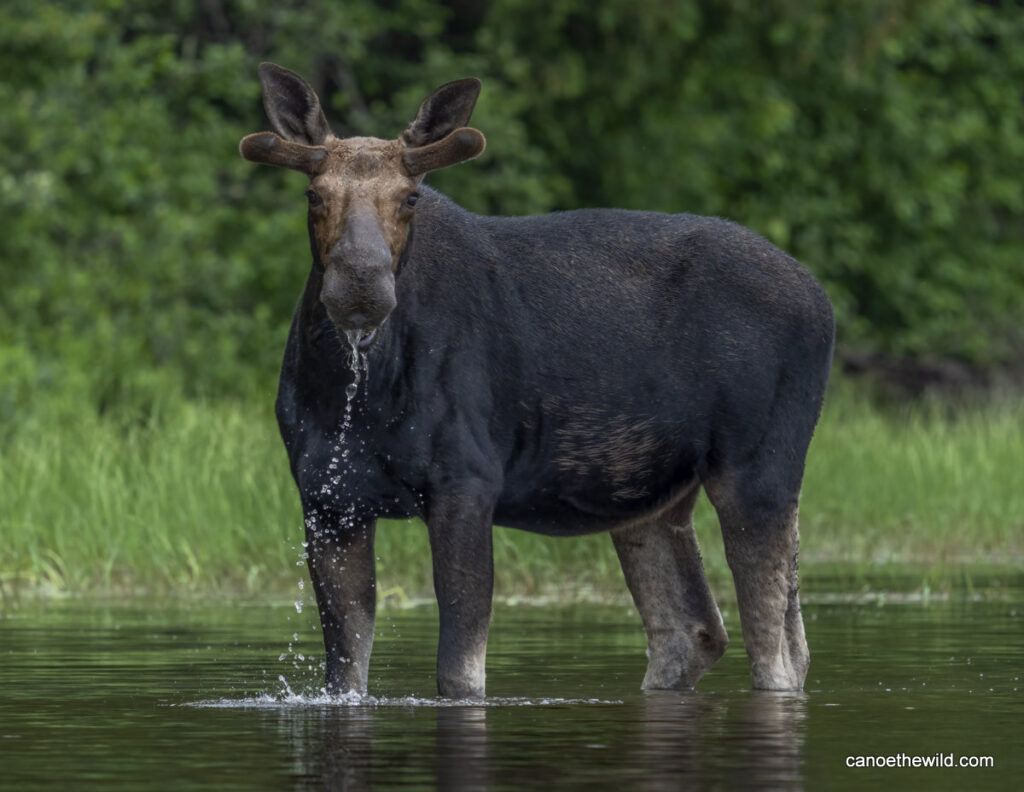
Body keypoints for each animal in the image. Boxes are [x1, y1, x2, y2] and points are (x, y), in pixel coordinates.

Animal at [239, 63, 834, 699]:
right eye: (313, 194)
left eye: (410, 196)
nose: (360, 283)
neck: (354, 393)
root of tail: (823, 303)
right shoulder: (327, 499)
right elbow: (346, 673)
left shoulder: (467, 480)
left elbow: (459, 672)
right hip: (655, 499)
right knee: (696, 630)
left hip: (758, 466)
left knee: (777, 653)